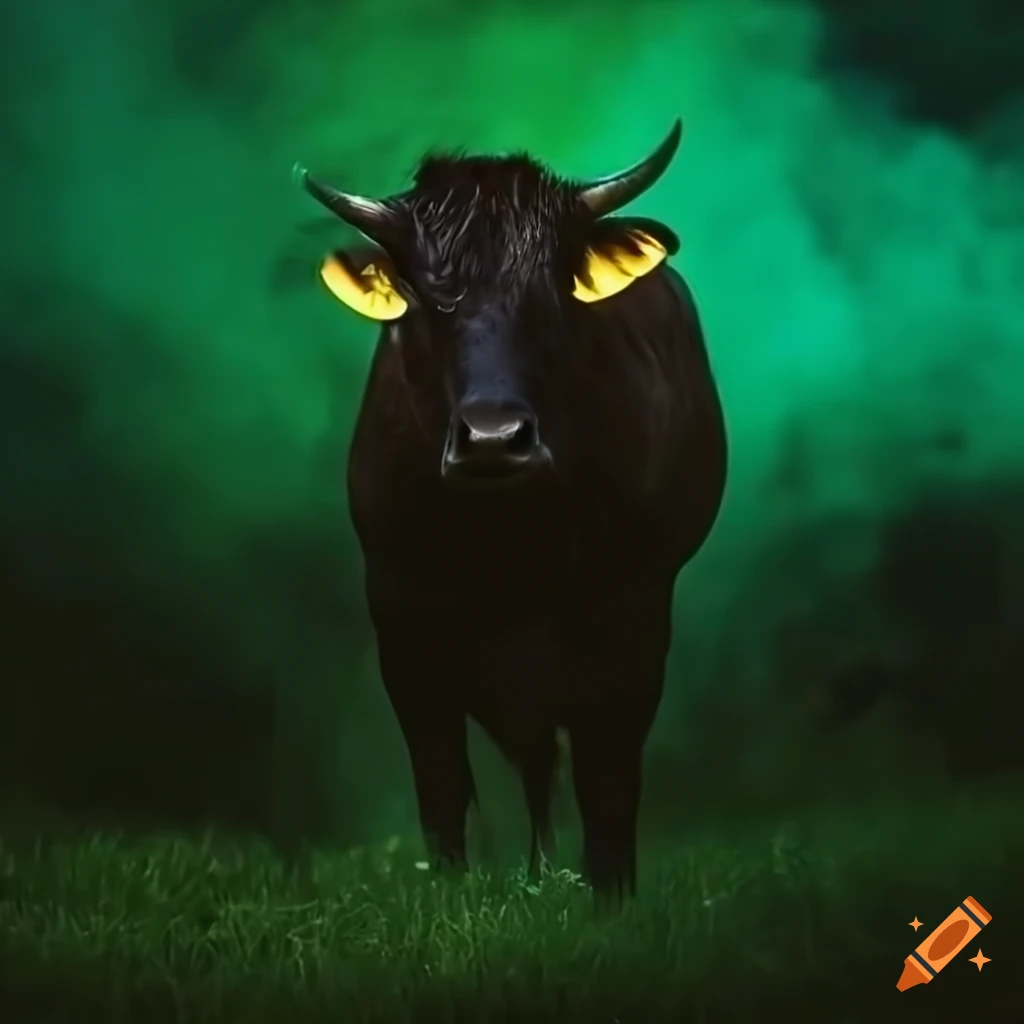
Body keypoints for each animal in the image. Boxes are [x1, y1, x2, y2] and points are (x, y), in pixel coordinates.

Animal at [294, 119, 727, 900]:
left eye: (551, 293)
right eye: (422, 298)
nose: (494, 438)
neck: (509, 542)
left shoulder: (635, 615)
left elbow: (609, 776)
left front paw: (610, 895)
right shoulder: (400, 621)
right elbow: (440, 780)